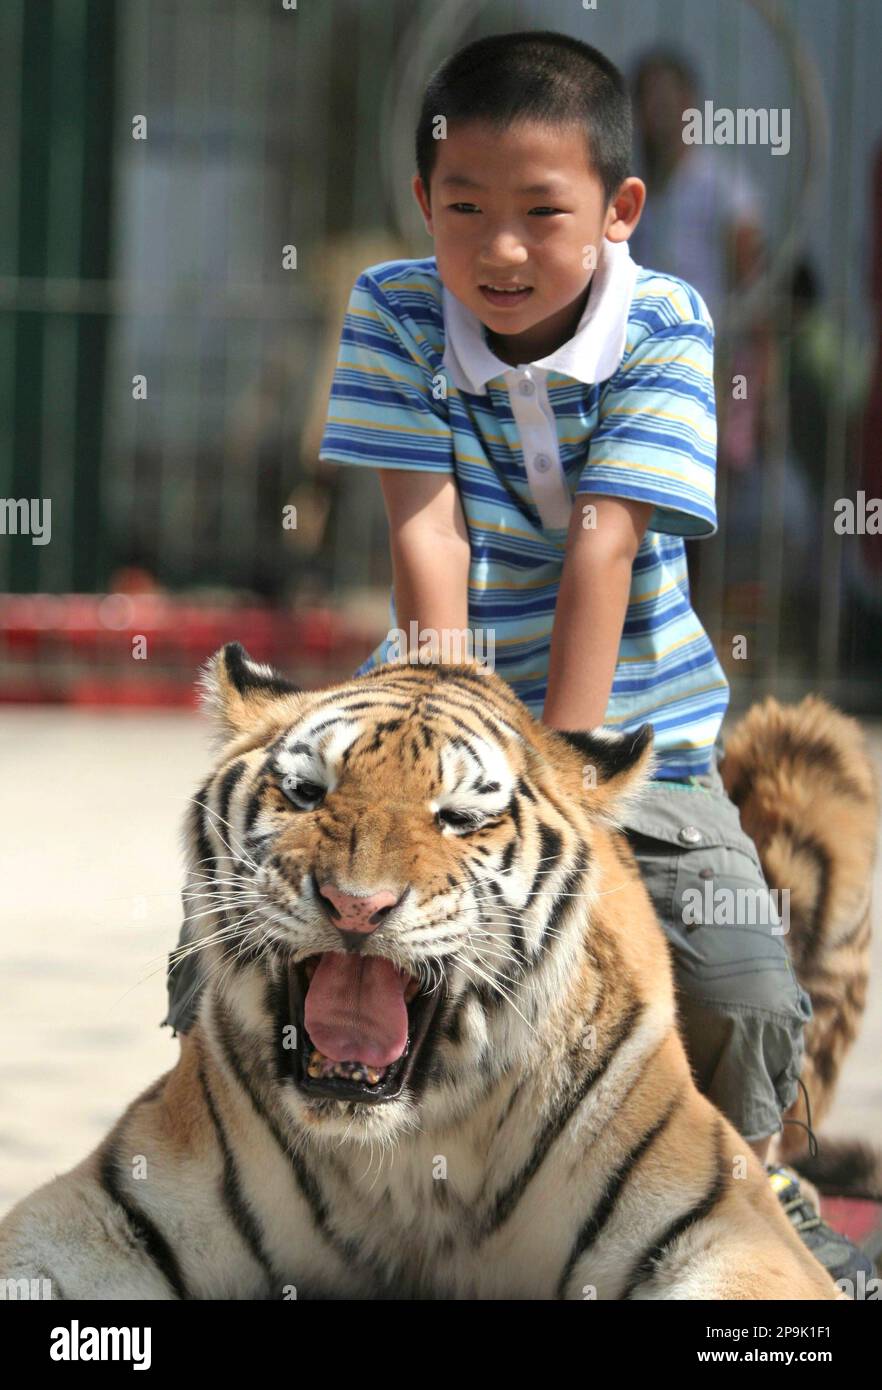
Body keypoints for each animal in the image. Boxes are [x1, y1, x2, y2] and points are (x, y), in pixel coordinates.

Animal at [0, 643, 849, 1299]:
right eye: (306, 793)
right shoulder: (113, 1212)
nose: (355, 904)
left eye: (460, 819)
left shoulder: (728, 1226)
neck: (405, 1151)